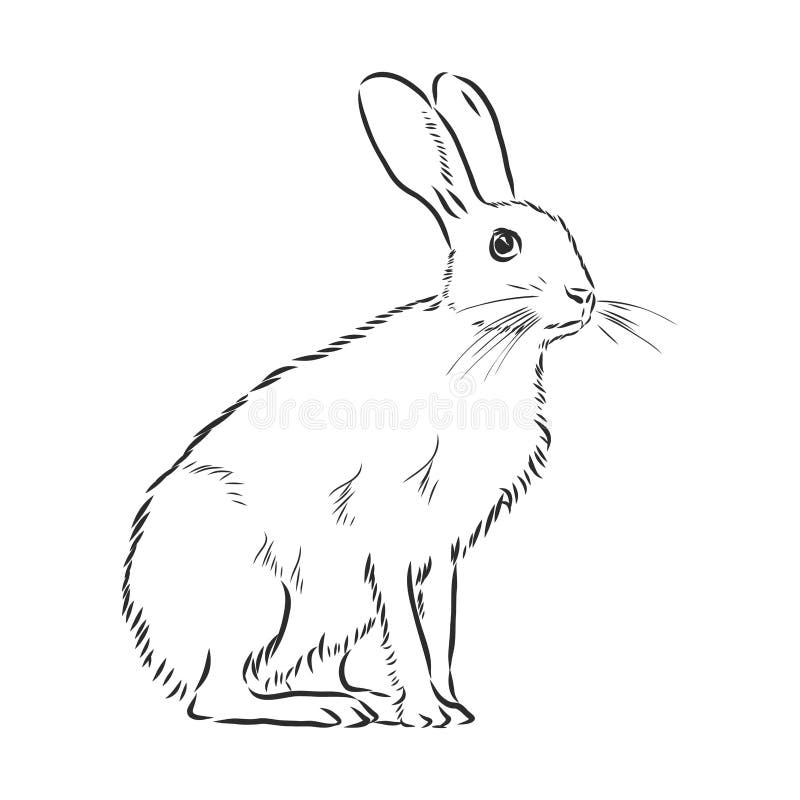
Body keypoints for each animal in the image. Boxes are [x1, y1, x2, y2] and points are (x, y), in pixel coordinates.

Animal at [123, 71, 606, 728]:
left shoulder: (442, 555)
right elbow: (410, 631)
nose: (584, 295)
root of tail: (154, 631)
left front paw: (452, 706)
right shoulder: (391, 535)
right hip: (259, 596)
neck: (484, 340)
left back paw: (363, 701)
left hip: (323, 617)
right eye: (504, 245)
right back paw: (330, 710)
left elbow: (440, 631)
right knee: (219, 695)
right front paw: (428, 714)